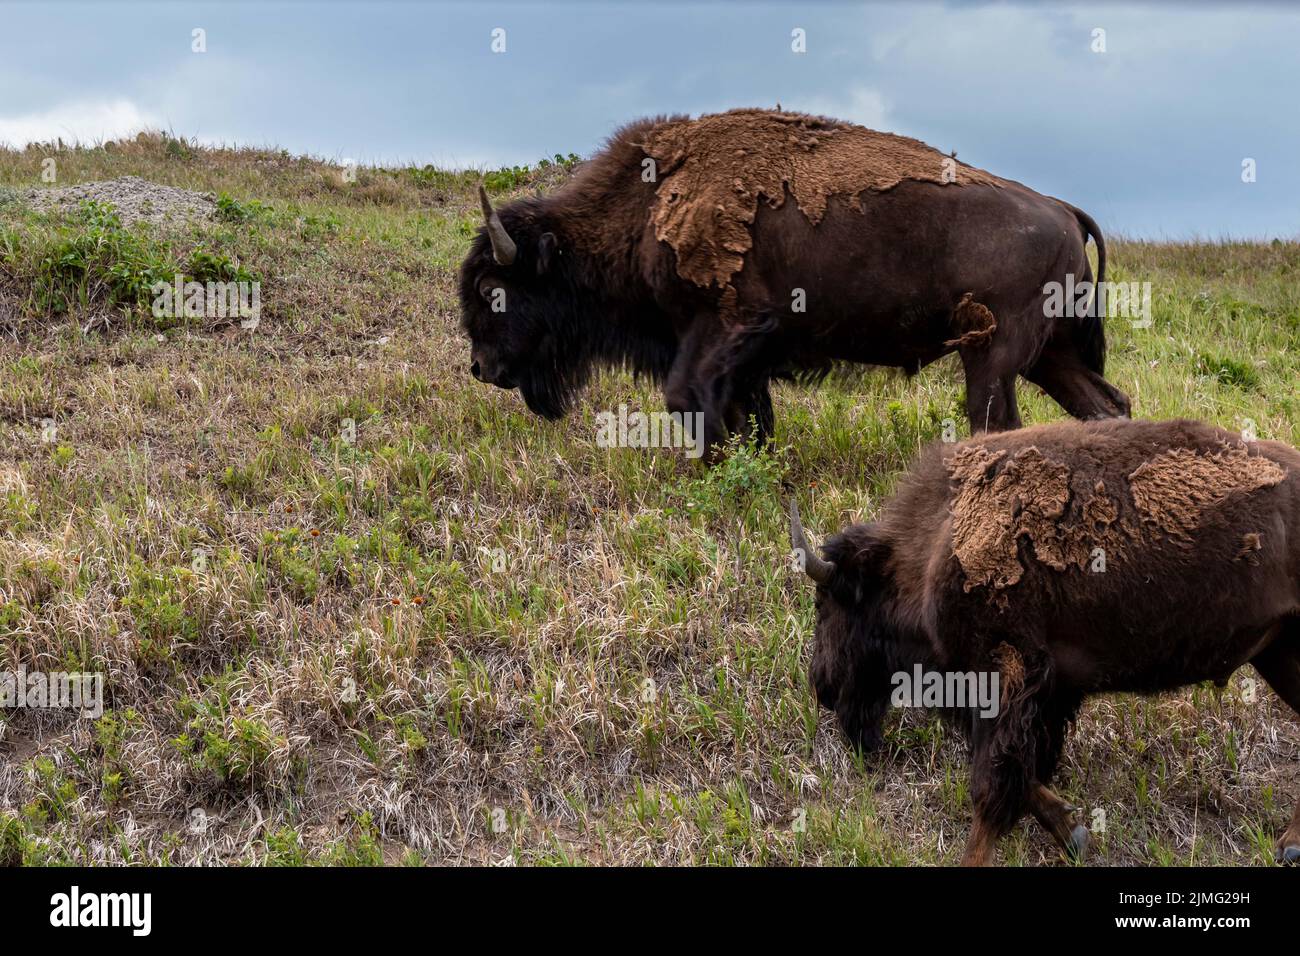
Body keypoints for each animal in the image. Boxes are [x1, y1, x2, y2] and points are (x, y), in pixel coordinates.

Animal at [460, 108, 1131, 458]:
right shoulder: (747, 358)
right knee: (1105, 405)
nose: (482, 368)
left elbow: (689, 400)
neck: (649, 205)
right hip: (1046, 355)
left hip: (992, 354)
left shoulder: (724, 329)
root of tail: (1062, 209)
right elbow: (751, 416)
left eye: (496, 290)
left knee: (997, 422)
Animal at [791, 417, 1300, 865]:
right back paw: (1289, 843)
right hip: (1277, 654)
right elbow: (1023, 776)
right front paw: (1076, 835)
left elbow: (993, 784)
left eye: (828, 604)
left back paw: (1289, 845)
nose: (822, 686)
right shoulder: (1043, 694)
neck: (931, 547)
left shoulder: (1006, 680)